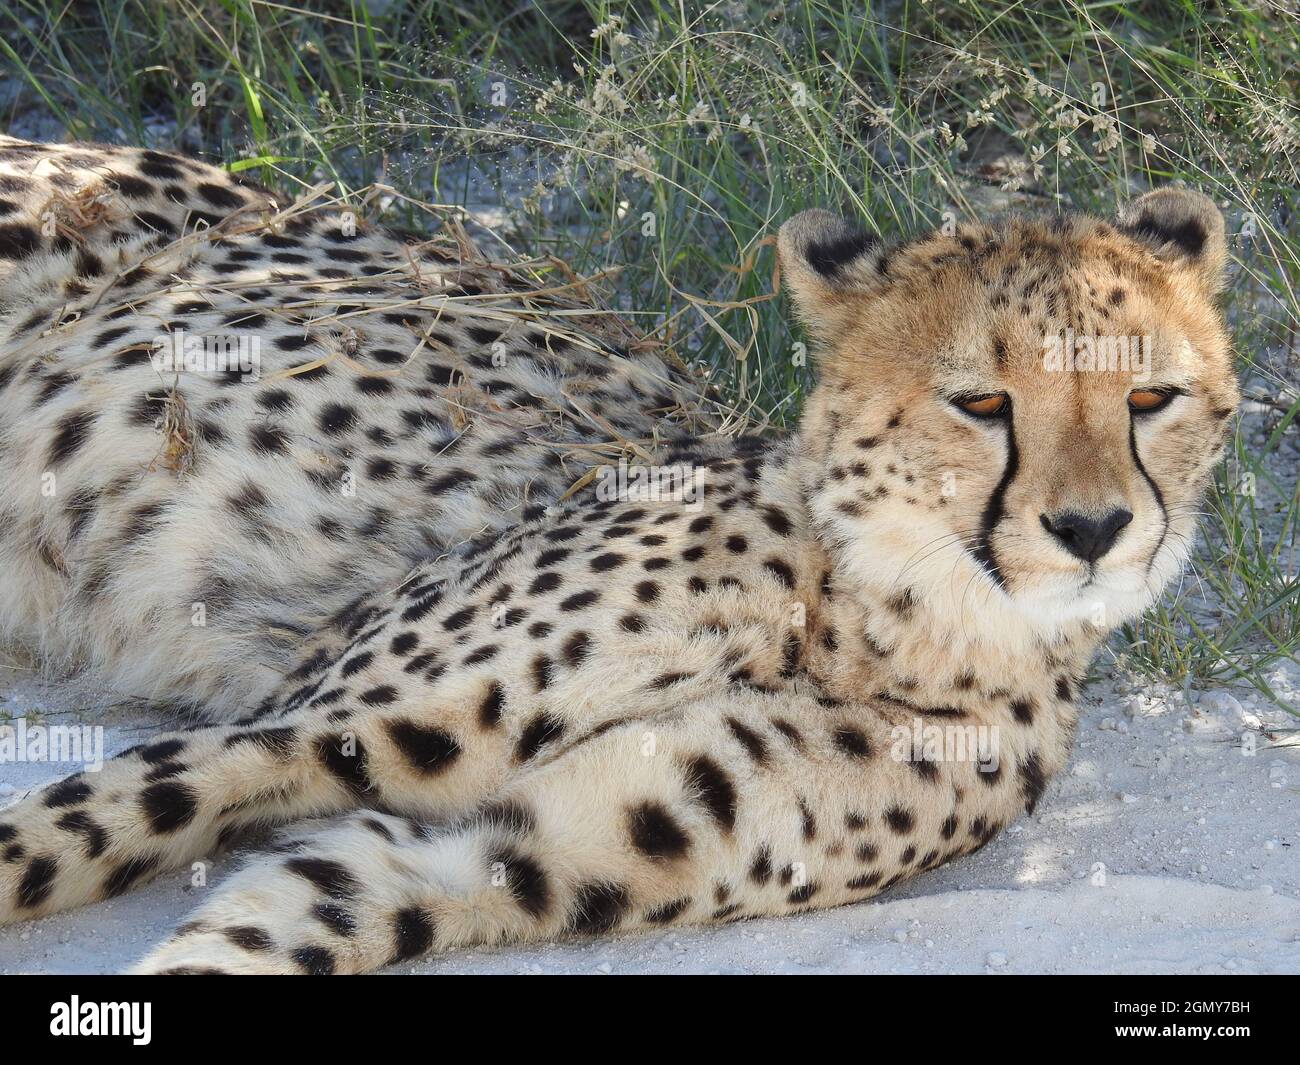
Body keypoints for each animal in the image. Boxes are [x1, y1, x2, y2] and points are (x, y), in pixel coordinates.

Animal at [0, 135, 1239, 974]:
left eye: (1149, 397)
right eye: (981, 401)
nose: (1093, 530)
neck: (877, 617)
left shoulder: (476, 856)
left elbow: (255, 929)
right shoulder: (298, 725)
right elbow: (58, 833)